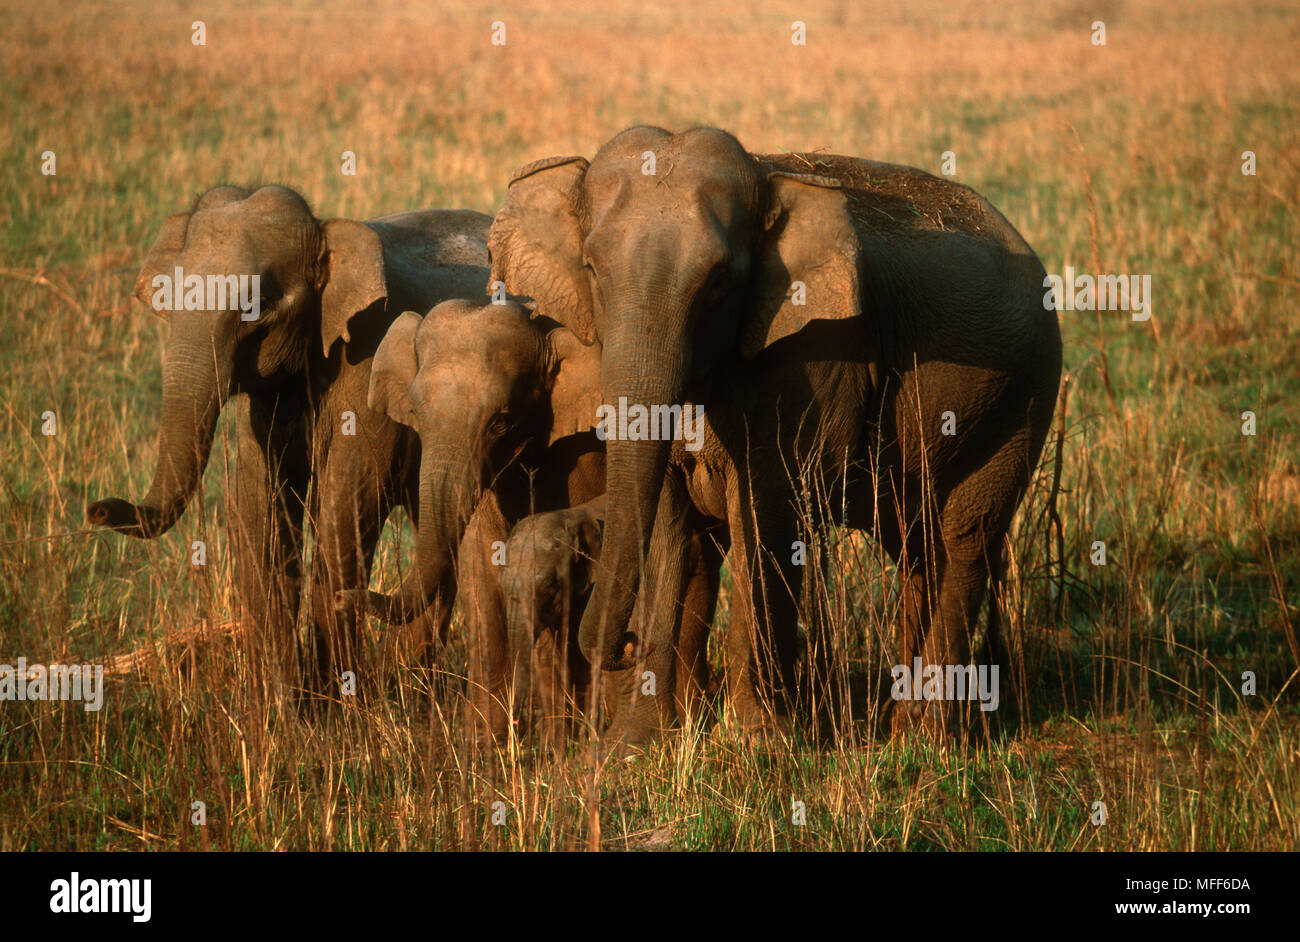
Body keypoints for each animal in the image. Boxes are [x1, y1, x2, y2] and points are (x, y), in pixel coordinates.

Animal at [86, 184, 492, 698]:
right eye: (166, 302)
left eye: (256, 310)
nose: (96, 509)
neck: (326, 233)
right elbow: (259, 510)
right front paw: (281, 706)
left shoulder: (370, 366)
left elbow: (348, 506)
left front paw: (332, 705)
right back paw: (412, 682)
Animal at [347, 298, 725, 746]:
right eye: (415, 413)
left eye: (500, 421)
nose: (343, 597)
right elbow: (480, 564)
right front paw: (483, 745)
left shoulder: (586, 450)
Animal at [487, 126, 1063, 738]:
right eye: (592, 269)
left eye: (719, 281)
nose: (622, 645)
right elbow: (671, 525)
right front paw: (640, 741)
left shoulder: (817, 350)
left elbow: (766, 514)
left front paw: (758, 739)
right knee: (918, 548)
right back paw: (895, 719)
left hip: (1021, 402)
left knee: (964, 539)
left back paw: (924, 733)